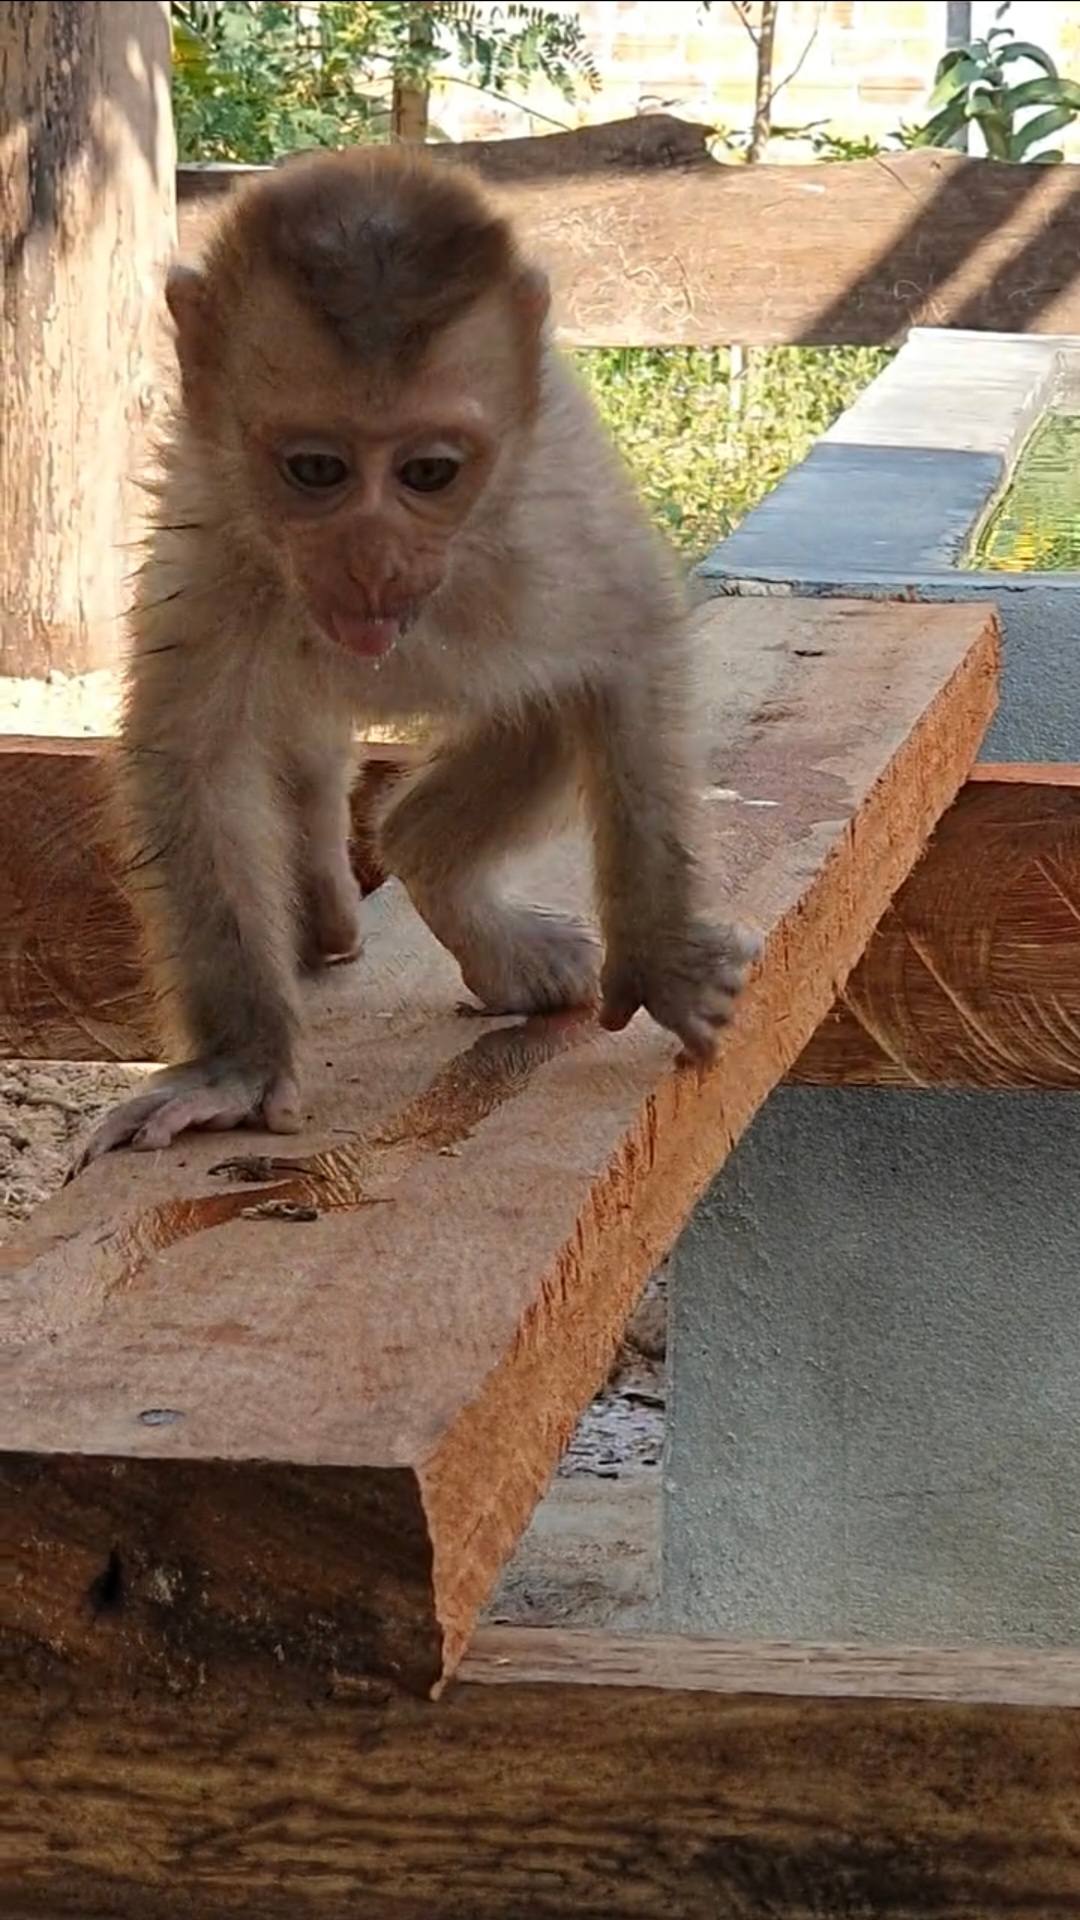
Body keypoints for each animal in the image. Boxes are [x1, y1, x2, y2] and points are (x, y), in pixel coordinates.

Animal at [74, 145, 761, 1169]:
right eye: (316, 471)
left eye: (428, 473)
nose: (372, 558)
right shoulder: (212, 539)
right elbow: (196, 759)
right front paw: (237, 1063)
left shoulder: (551, 529)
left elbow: (627, 657)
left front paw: (659, 954)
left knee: (548, 702)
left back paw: (428, 861)